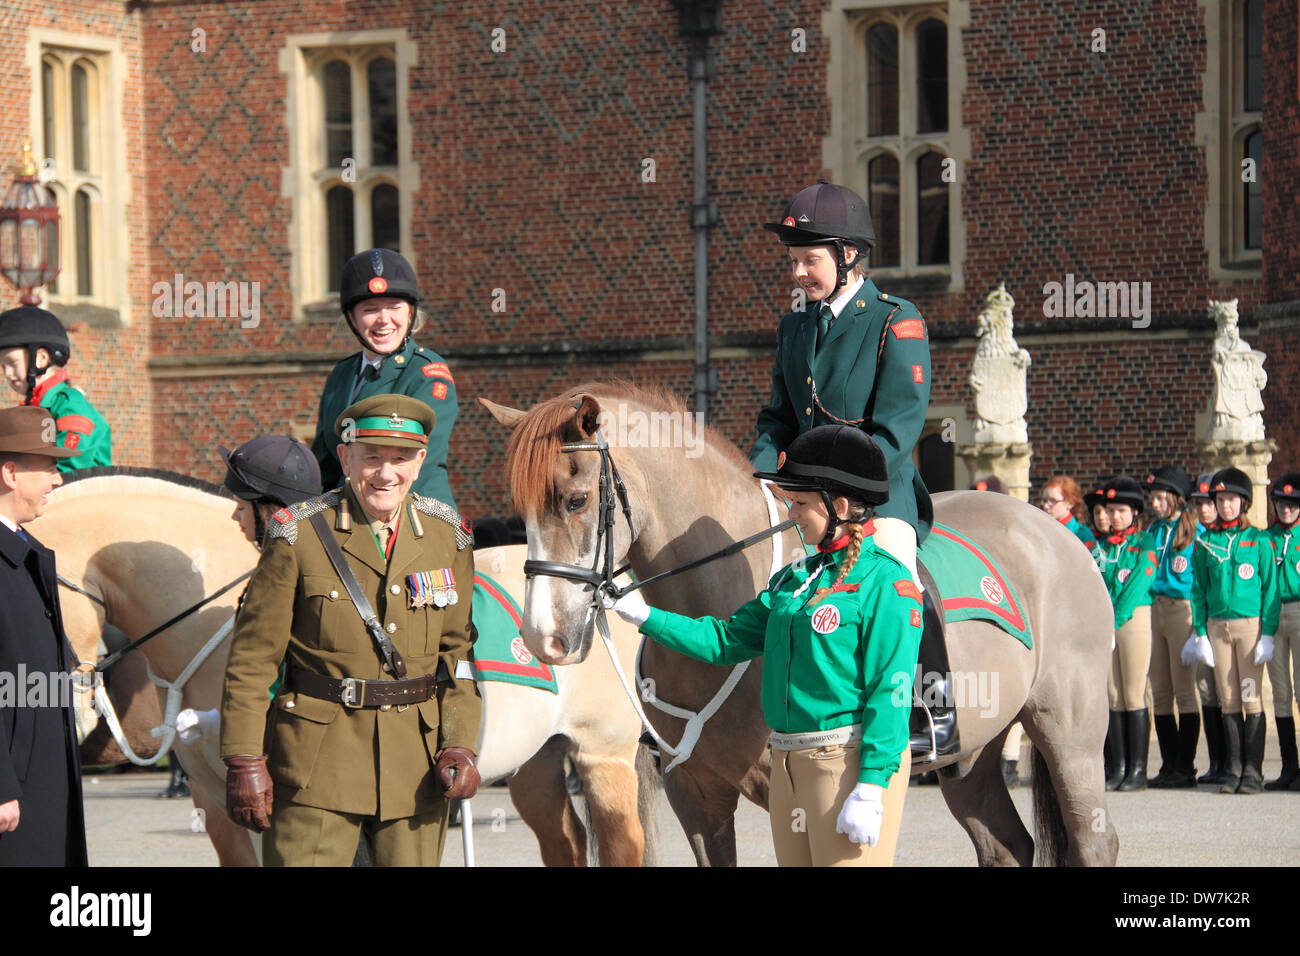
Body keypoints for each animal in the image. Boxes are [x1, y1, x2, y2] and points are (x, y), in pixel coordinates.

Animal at [483, 382, 1120, 866]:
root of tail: (1051, 528)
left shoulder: (788, 795)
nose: (544, 638)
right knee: (1006, 846)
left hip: (1071, 734)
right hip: (972, 754)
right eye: (520, 509)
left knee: (1094, 841)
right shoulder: (695, 794)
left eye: (574, 500)